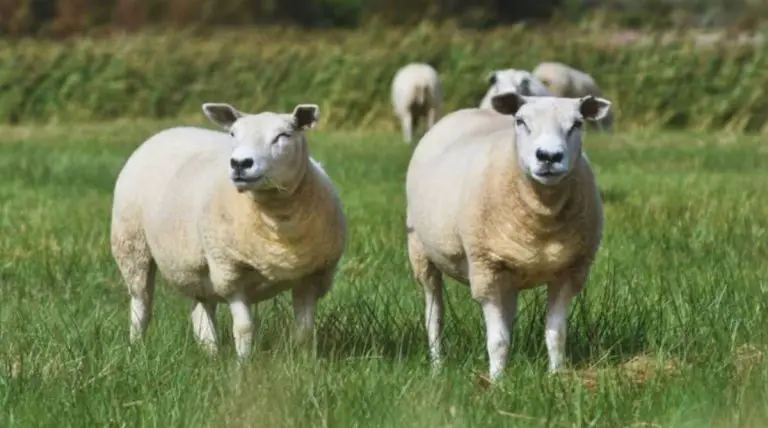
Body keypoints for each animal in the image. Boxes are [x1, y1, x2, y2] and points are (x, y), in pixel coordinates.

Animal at [110, 102, 347, 359]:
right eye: (233, 134)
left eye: (283, 135)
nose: (240, 164)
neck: (277, 223)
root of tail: (169, 131)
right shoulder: (230, 272)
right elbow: (244, 328)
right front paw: (243, 364)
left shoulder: (312, 277)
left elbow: (304, 330)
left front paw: (306, 362)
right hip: (131, 245)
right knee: (141, 303)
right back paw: (136, 348)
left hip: (196, 265)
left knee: (201, 308)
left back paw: (211, 353)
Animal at [405, 91, 611, 381]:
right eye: (521, 121)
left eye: (577, 124)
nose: (548, 156)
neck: (542, 217)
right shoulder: (485, 269)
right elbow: (497, 340)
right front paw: (497, 381)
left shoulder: (570, 272)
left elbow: (556, 335)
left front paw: (556, 376)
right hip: (420, 251)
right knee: (434, 313)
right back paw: (437, 364)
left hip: (511, 273)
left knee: (507, 312)